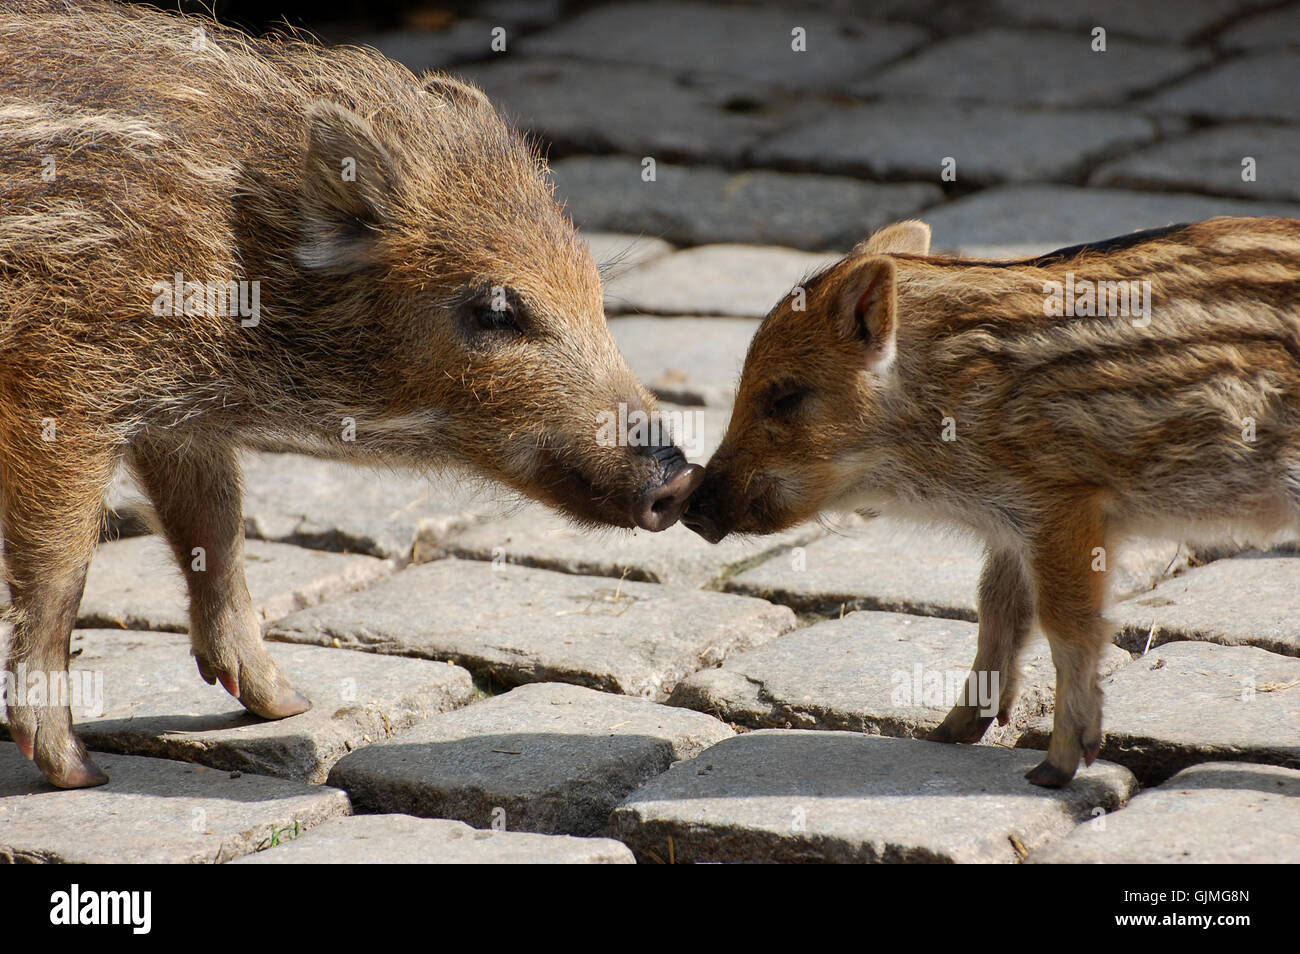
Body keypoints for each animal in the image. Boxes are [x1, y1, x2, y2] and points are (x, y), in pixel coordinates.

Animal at [0, 0, 701, 788]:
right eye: (495, 310)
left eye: (596, 292)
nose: (680, 477)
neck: (240, 261)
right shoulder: (62, 382)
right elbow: (61, 568)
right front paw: (74, 771)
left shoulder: (175, 412)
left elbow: (216, 528)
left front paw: (286, 705)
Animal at [684, 216, 1300, 786]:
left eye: (785, 396)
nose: (689, 507)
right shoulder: (1013, 526)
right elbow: (997, 612)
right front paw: (946, 734)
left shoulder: (1065, 504)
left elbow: (1068, 625)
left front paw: (1053, 770)